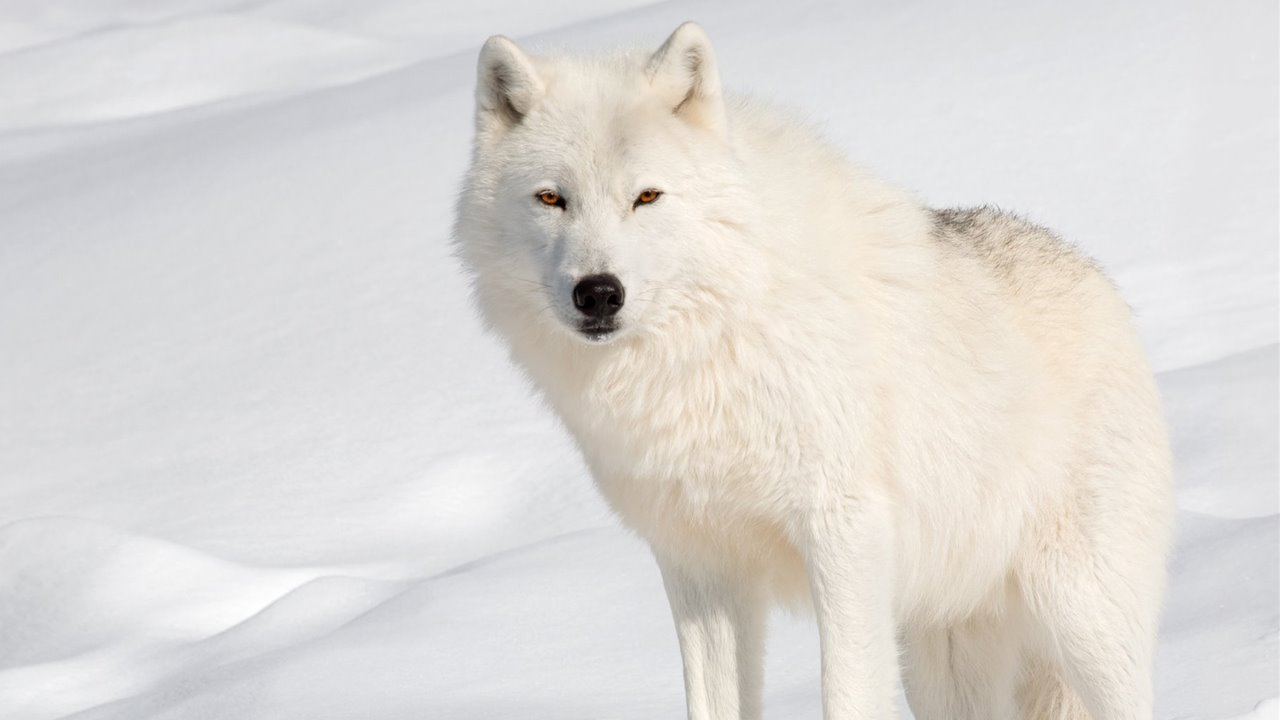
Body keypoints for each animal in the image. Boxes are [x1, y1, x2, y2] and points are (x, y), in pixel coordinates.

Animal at [453, 22, 1174, 720]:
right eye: (552, 198)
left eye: (647, 197)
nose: (599, 293)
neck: (709, 345)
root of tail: (1100, 283)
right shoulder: (700, 566)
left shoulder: (844, 534)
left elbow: (845, 694)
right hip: (941, 661)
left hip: (1082, 619)